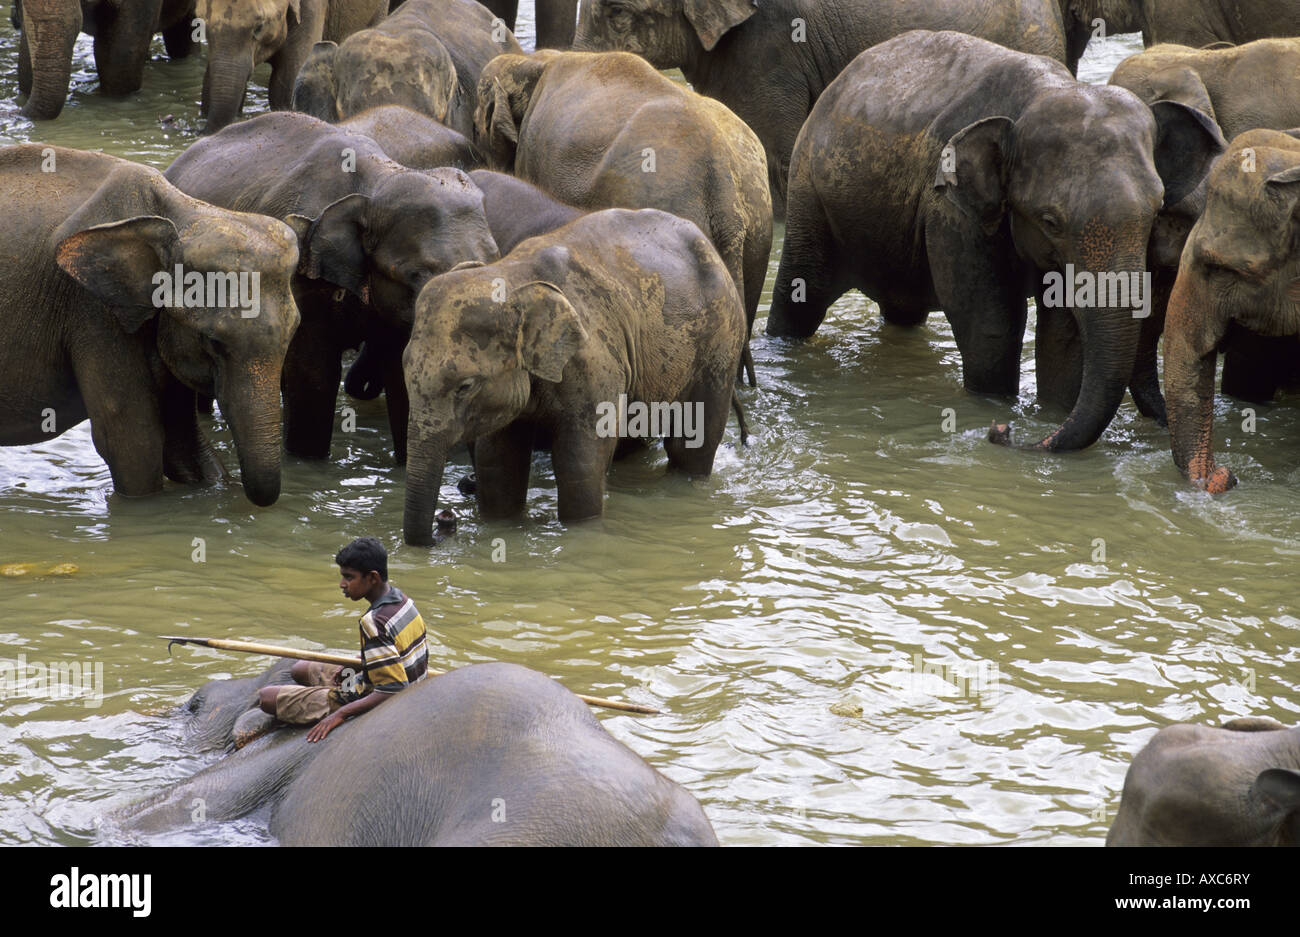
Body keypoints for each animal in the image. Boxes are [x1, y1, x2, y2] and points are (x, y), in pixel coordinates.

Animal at [0, 144, 300, 506]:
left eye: (293, 333)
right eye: (213, 341)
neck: (179, 213)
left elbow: (182, 443)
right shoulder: (92, 309)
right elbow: (132, 441)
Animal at [165, 112, 500, 464]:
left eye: (495, 261)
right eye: (417, 273)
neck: (377, 182)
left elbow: (404, 371)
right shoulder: (301, 272)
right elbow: (314, 372)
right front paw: (306, 461)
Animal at [401, 208, 746, 543]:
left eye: (465, 386)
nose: (445, 521)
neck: (512, 276)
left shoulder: (595, 361)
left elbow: (580, 460)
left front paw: (581, 532)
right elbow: (496, 460)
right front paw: (500, 526)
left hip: (721, 340)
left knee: (691, 444)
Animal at [765, 30, 1223, 453]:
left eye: (1158, 209)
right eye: (1050, 221)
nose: (1002, 433)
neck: (1045, 92)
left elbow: (1064, 333)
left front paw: (1051, 412)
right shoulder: (949, 207)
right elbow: (990, 321)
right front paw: (992, 406)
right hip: (810, 190)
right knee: (802, 293)